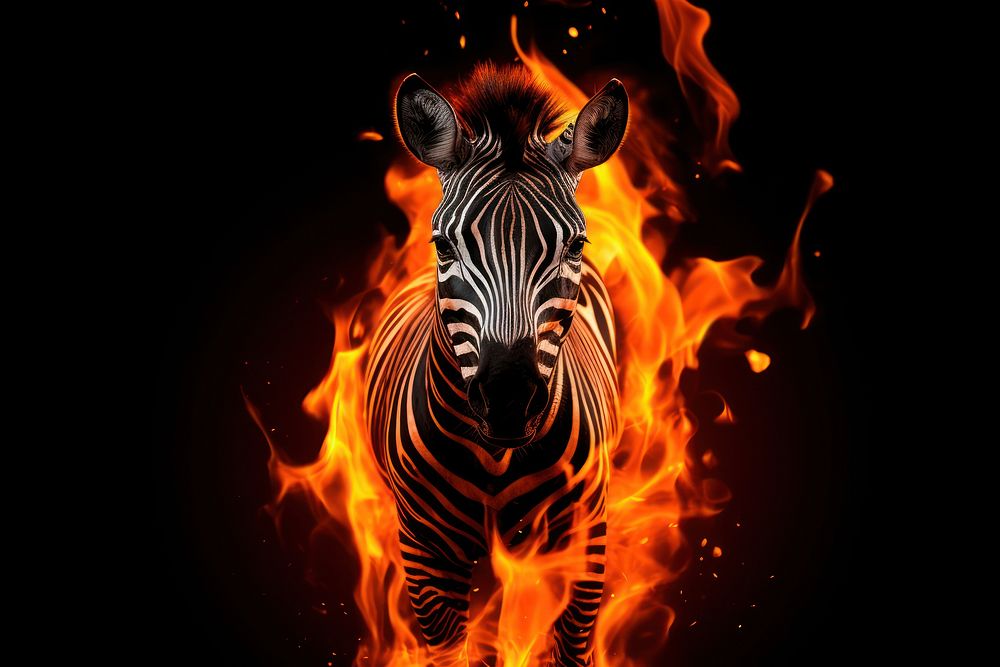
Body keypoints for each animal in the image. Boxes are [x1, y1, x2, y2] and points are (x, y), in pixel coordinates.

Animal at [366, 63, 628, 666]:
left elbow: (571, 648)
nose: (508, 401)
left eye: (575, 246)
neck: (495, 459)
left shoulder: (585, 543)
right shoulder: (425, 556)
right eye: (444, 247)